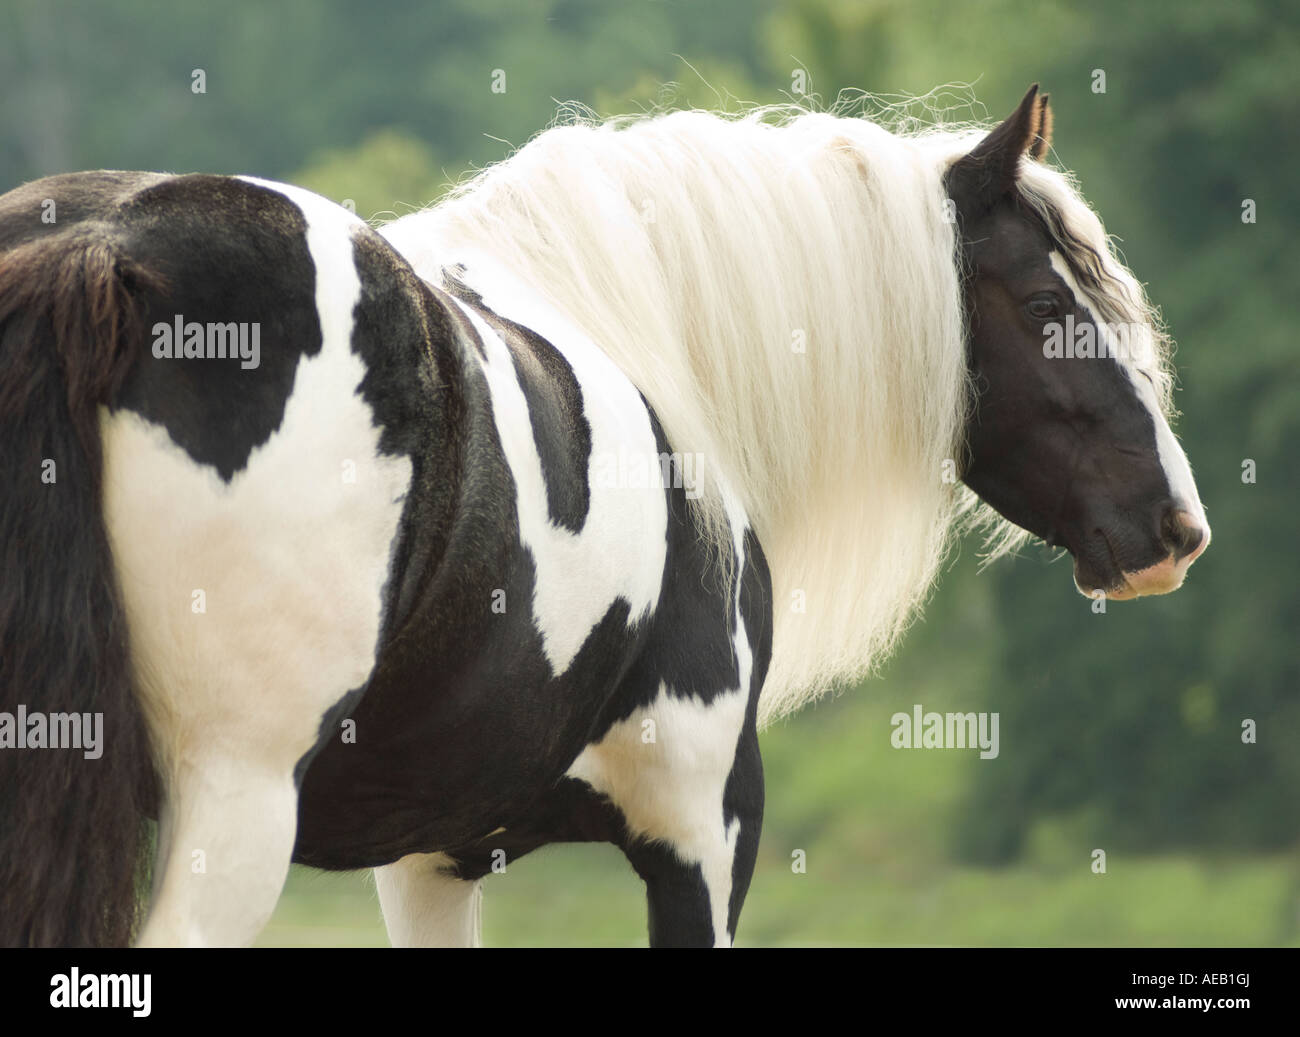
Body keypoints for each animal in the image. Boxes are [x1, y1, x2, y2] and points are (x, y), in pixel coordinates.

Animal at [0, 85, 1209, 947]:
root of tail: (108, 247)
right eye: (1050, 304)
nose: (1176, 526)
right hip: (234, 809)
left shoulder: (429, 858)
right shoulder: (704, 827)